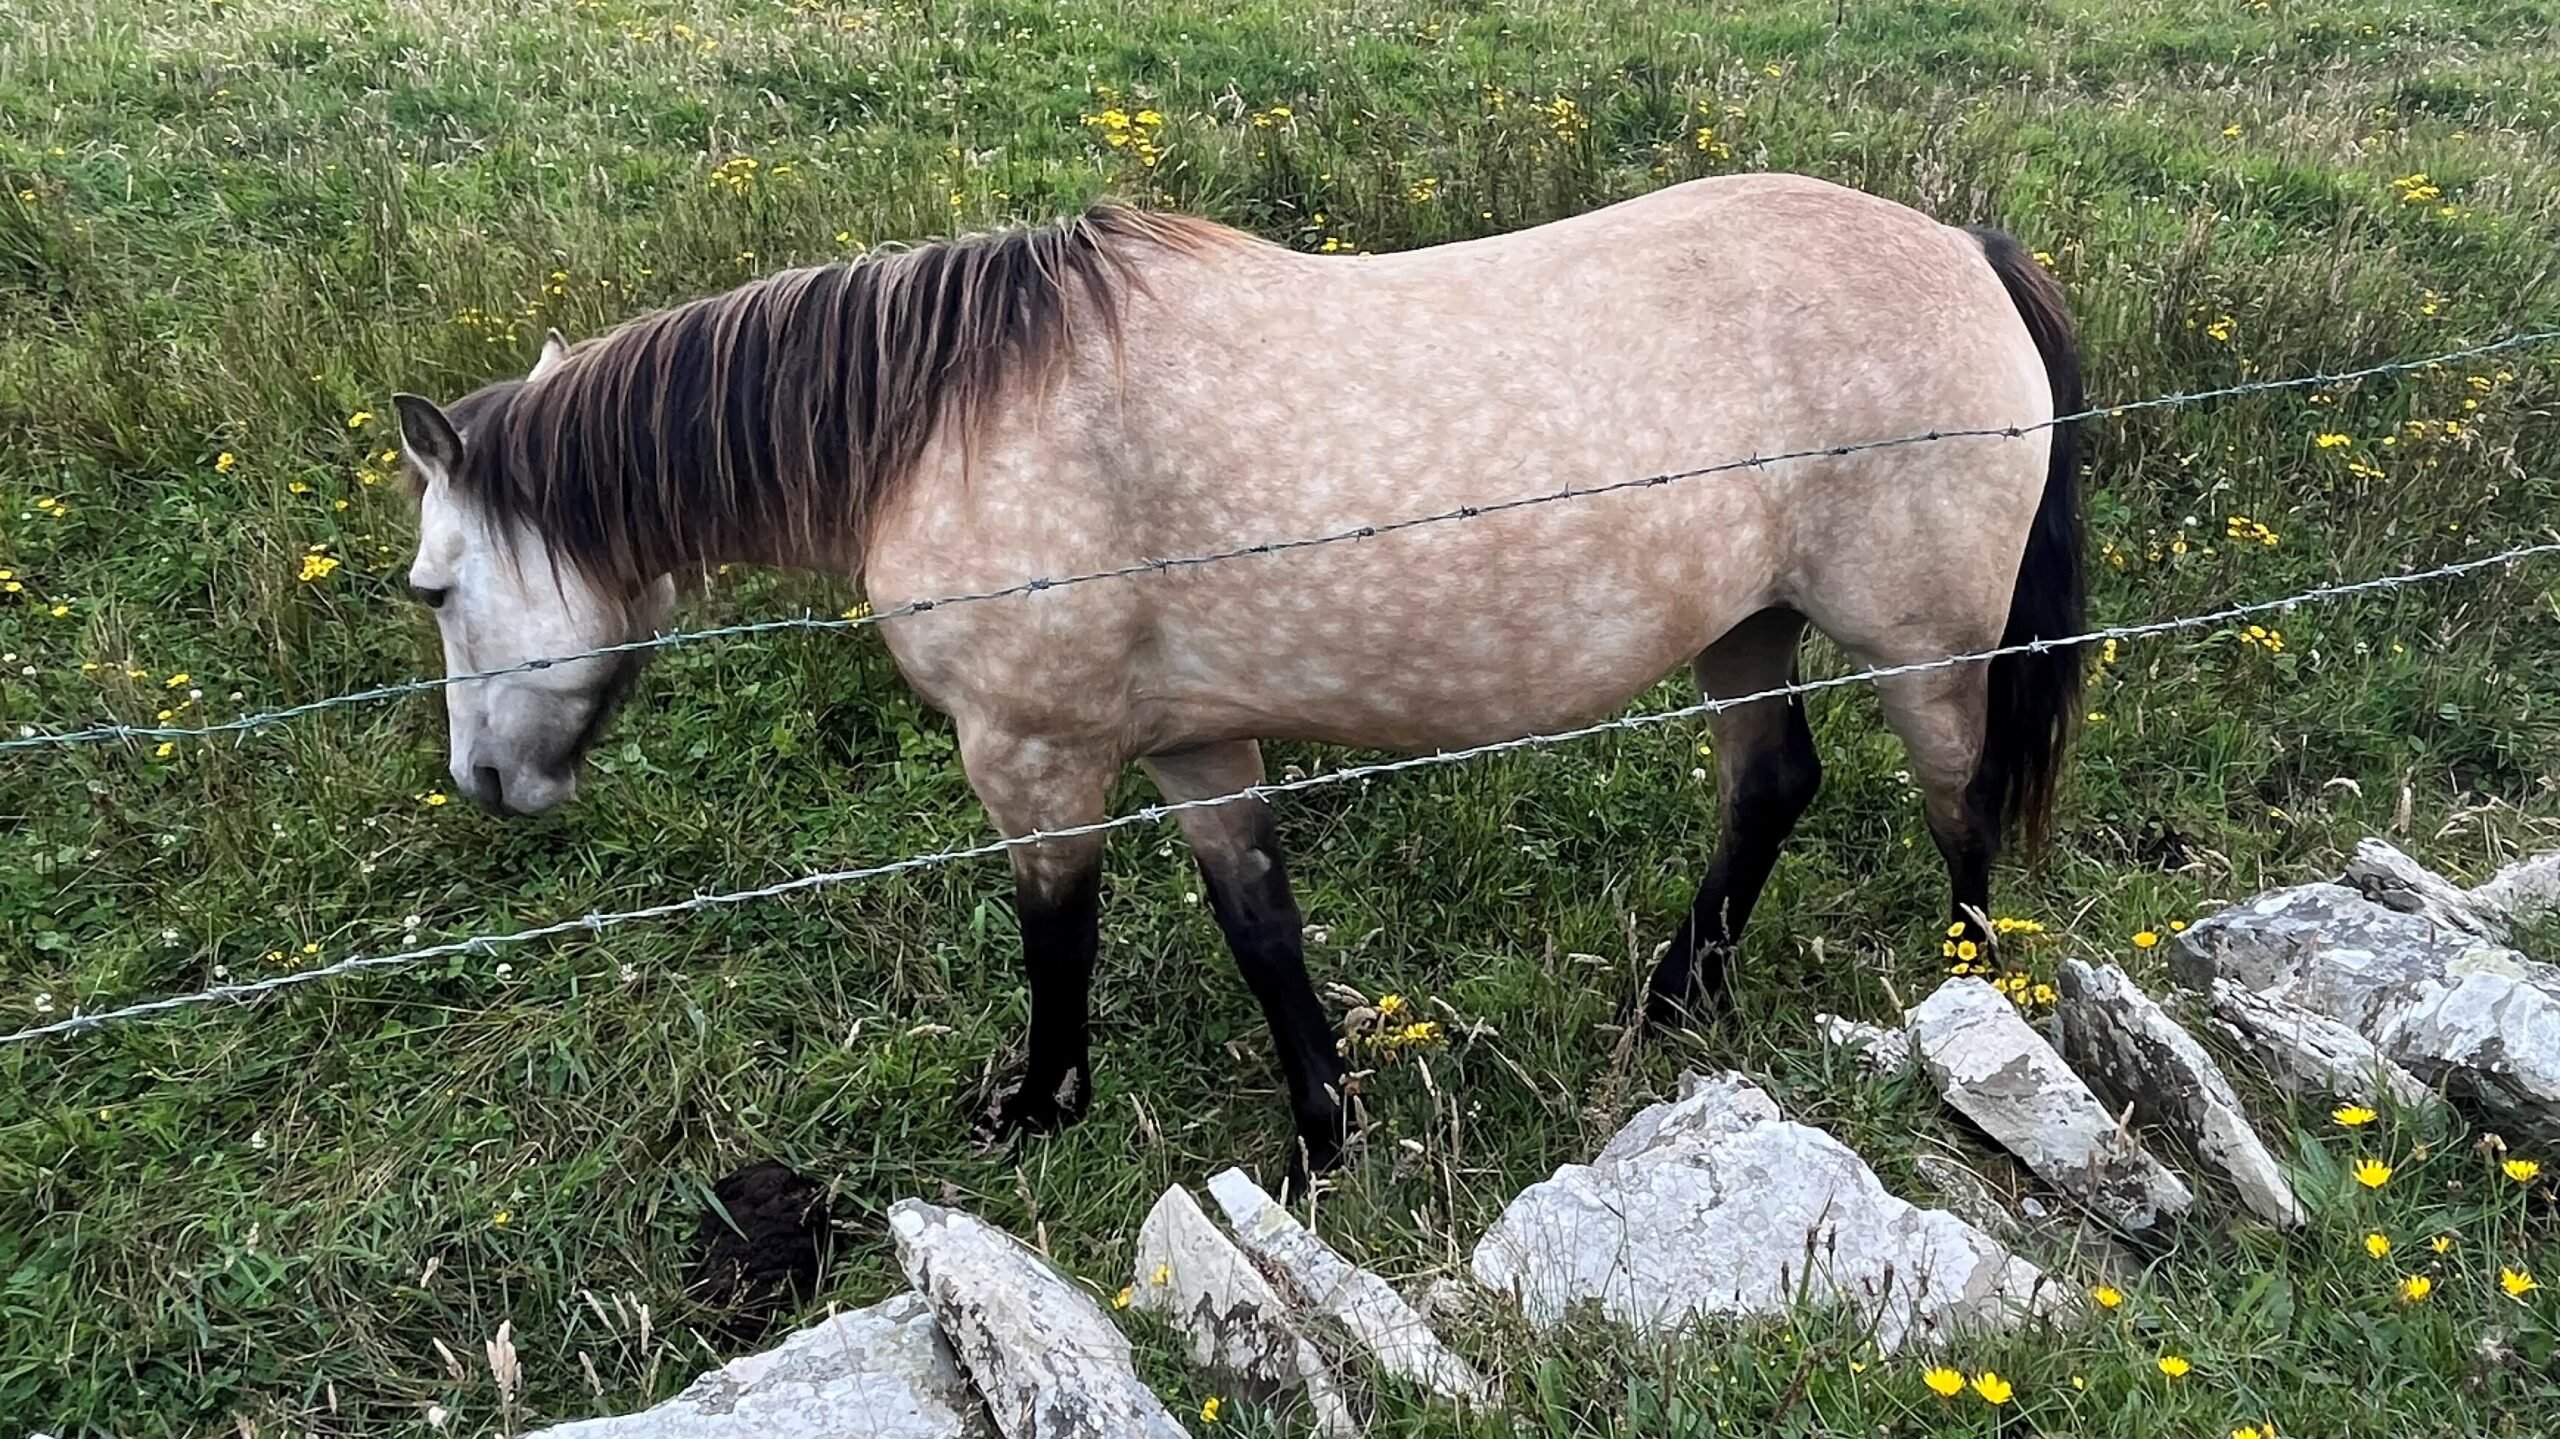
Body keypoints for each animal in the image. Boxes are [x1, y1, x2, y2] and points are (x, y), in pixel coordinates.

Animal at [392, 173, 2084, 1184]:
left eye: (435, 587)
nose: (485, 782)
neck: (949, 423)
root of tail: (1962, 248)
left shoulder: (1034, 756)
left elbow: (1057, 938)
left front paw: (1038, 1104)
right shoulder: (1195, 749)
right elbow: (1261, 931)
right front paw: (1323, 1134)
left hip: (1919, 642)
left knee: (1956, 794)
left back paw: (1963, 998)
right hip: (1745, 625)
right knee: (1773, 782)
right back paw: (1672, 998)